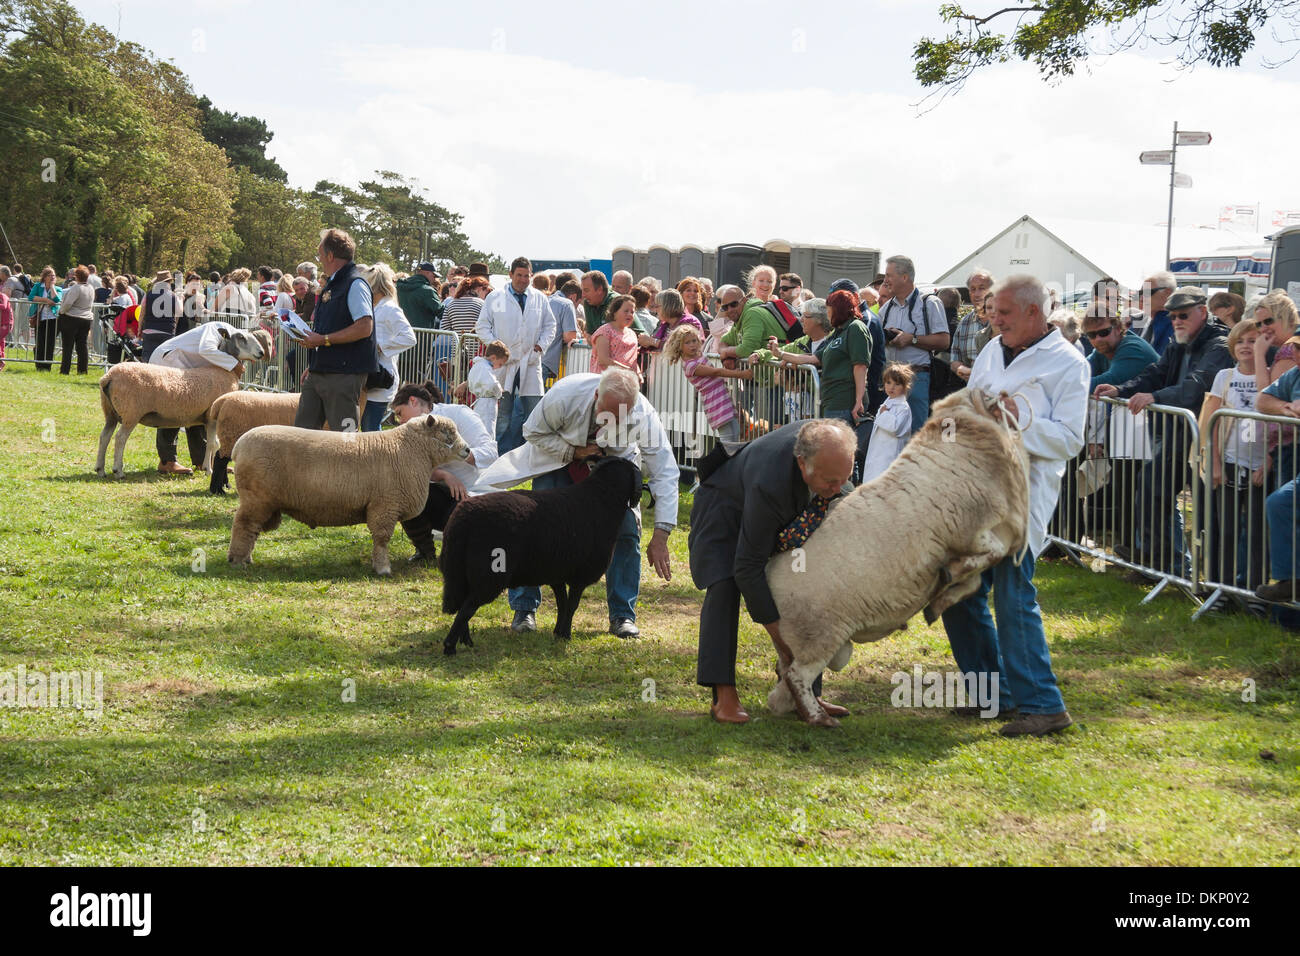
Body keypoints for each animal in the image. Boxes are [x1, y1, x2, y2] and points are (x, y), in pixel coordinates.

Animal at [95, 327, 271, 478]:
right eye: (241, 337)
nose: (261, 352)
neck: (223, 370)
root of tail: (108, 377)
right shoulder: (212, 416)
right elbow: (213, 444)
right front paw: (209, 471)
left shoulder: (205, 417)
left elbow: (208, 443)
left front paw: (206, 467)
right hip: (131, 412)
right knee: (120, 438)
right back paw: (118, 471)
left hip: (110, 412)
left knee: (104, 436)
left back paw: (100, 469)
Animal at [226, 414, 471, 575]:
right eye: (446, 433)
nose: (468, 450)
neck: (407, 448)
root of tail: (239, 445)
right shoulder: (385, 505)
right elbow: (382, 538)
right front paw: (383, 568)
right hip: (256, 498)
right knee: (243, 525)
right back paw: (237, 561)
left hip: (263, 502)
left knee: (252, 530)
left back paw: (247, 559)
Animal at [438, 457, 643, 655]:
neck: (603, 498)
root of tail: (462, 520)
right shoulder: (580, 576)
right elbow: (572, 605)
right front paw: (566, 634)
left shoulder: (557, 574)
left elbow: (562, 604)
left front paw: (558, 633)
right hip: (489, 574)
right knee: (467, 608)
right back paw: (450, 647)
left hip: (461, 573)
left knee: (463, 605)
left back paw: (466, 641)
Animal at [764, 388, 1031, 727]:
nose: (1004, 394)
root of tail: (768, 574)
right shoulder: (969, 528)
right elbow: (990, 552)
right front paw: (949, 578)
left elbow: (971, 580)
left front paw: (940, 599)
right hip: (820, 635)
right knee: (797, 676)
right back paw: (819, 717)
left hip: (802, 641)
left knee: (783, 674)